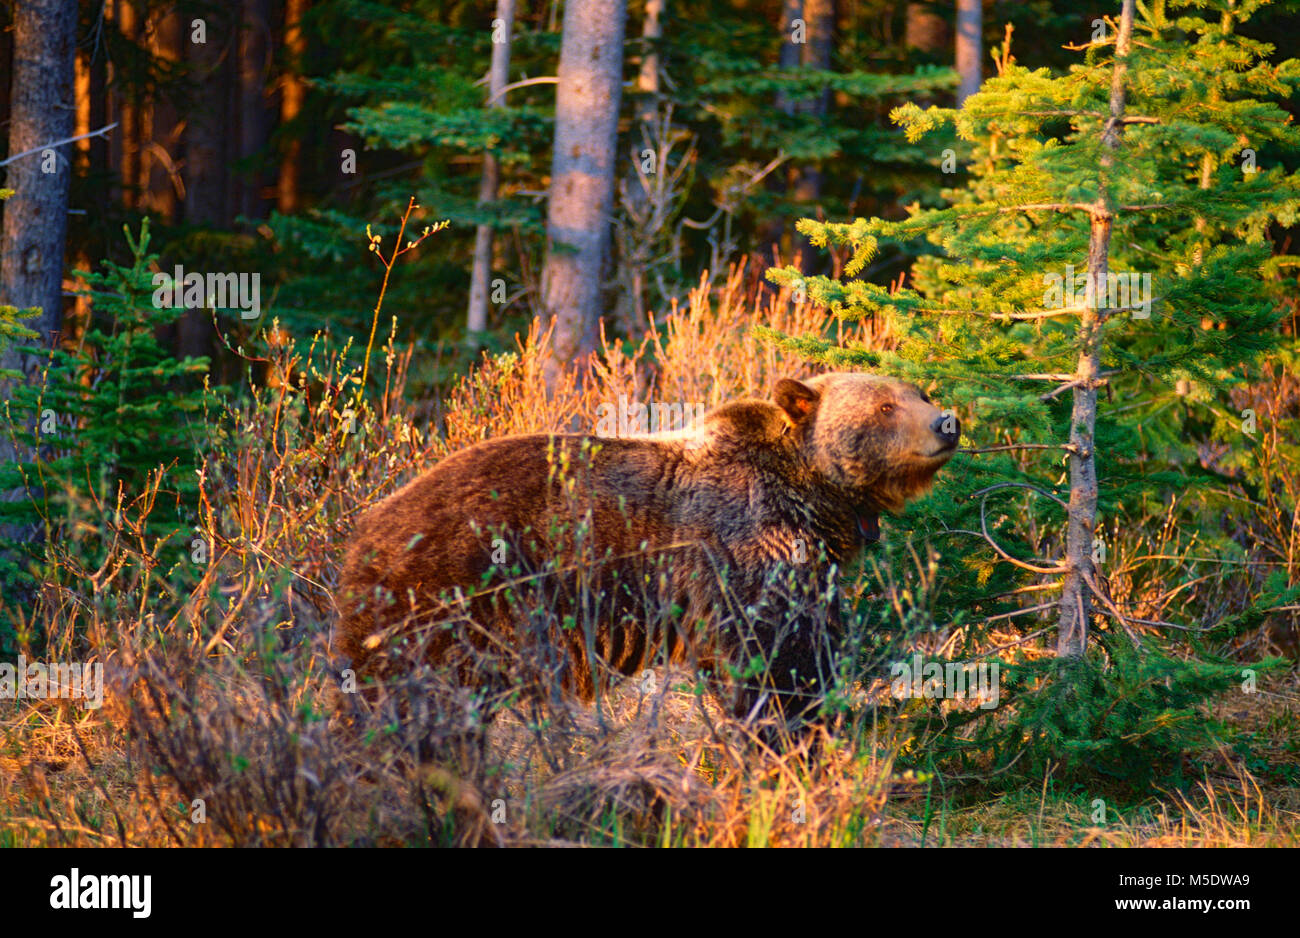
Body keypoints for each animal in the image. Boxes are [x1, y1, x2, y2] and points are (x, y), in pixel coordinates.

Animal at [335, 372, 959, 730]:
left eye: (920, 393)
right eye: (885, 406)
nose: (947, 421)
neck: (812, 494)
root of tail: (364, 528)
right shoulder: (745, 550)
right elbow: (778, 658)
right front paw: (795, 728)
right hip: (449, 592)